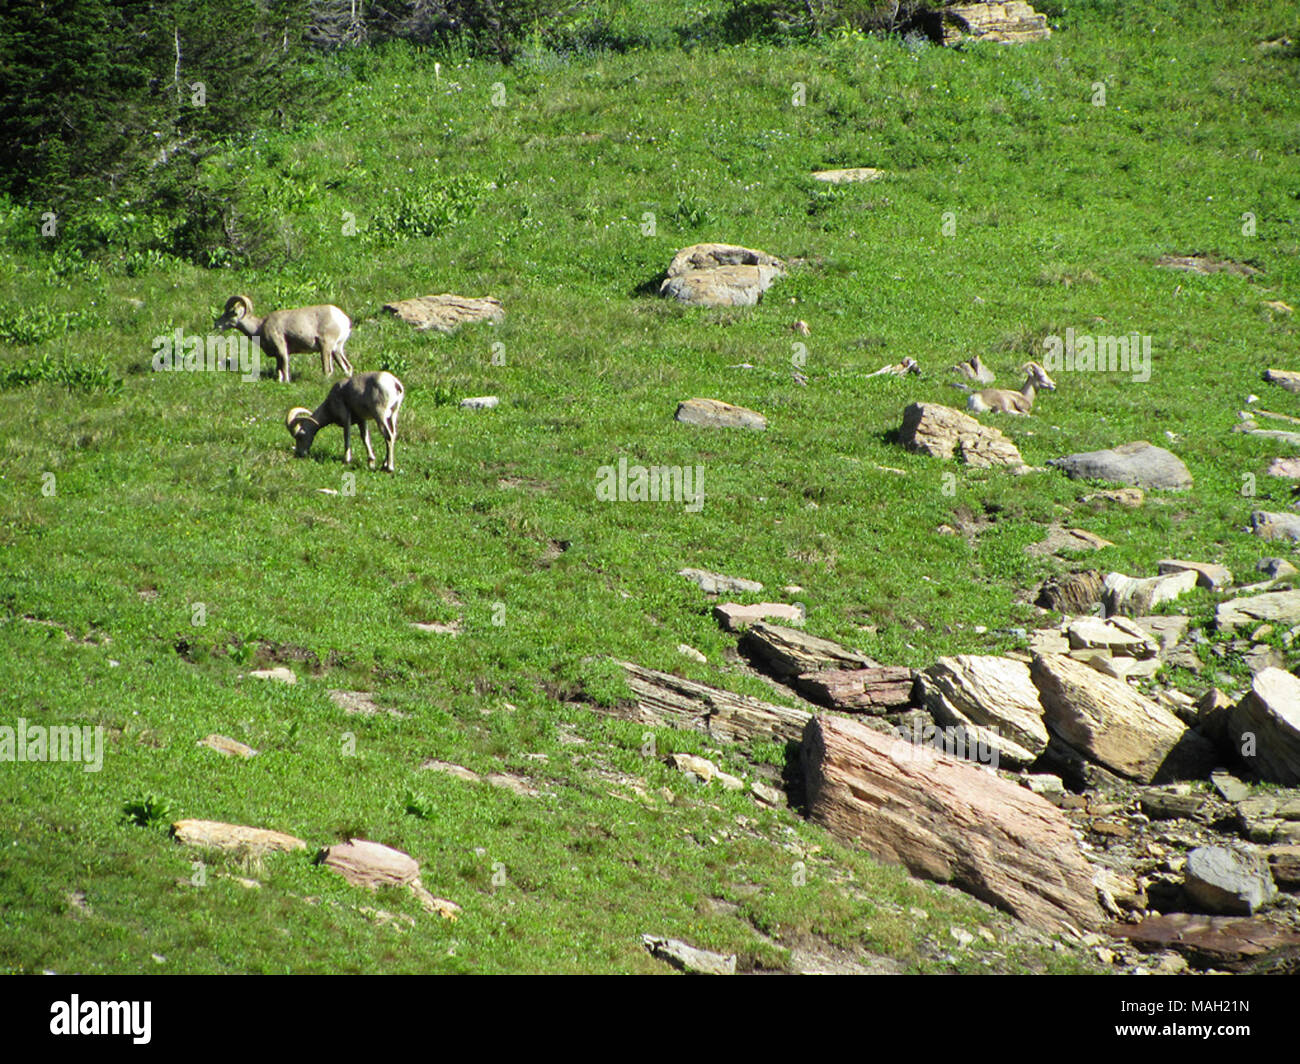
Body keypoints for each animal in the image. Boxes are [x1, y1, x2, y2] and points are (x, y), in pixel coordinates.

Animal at [215, 295, 353, 384]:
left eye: (229, 313)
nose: (216, 325)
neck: (259, 327)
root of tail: (343, 319)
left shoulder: (281, 348)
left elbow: (285, 366)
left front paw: (286, 382)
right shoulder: (277, 355)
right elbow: (279, 369)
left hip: (326, 348)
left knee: (328, 370)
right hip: (337, 350)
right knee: (347, 367)